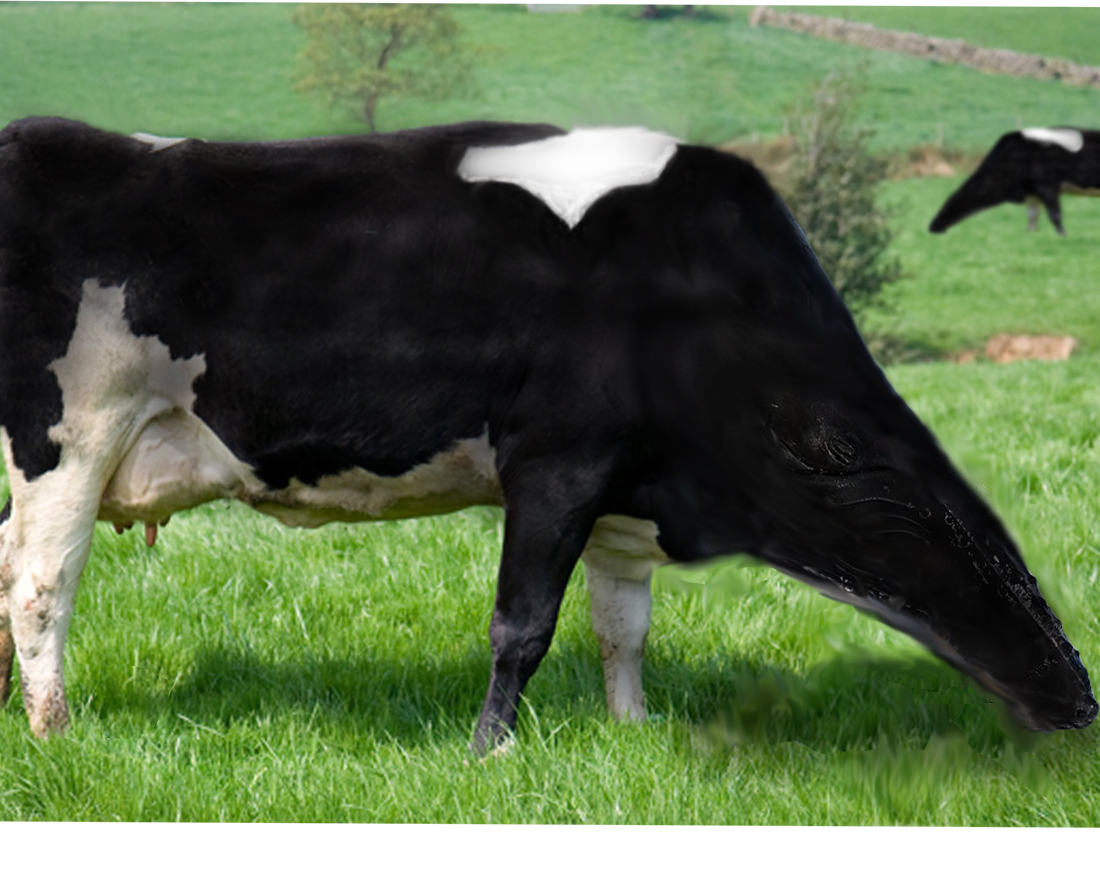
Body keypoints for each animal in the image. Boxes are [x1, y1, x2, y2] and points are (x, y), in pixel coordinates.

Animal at [929, 127, 1100, 235]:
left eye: (949, 205)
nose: (932, 228)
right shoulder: (1032, 193)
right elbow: (1032, 217)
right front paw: (1030, 235)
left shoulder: (1045, 184)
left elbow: (1055, 214)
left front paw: (1063, 236)